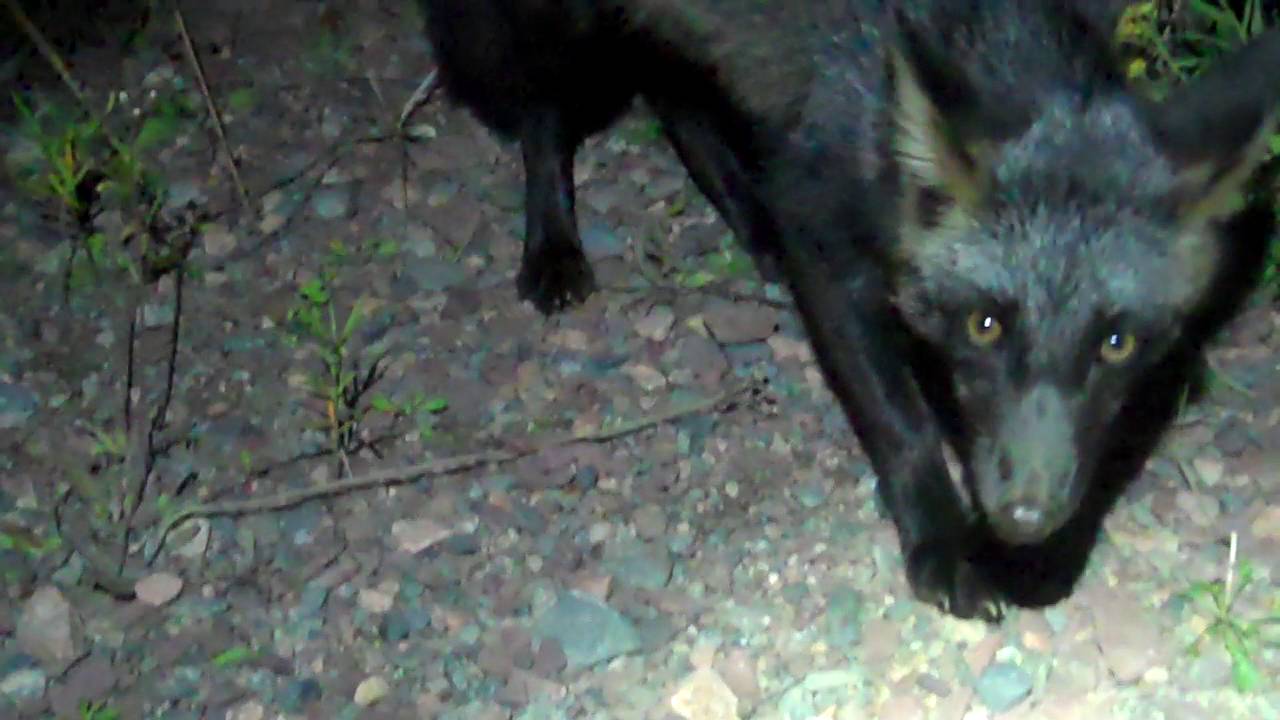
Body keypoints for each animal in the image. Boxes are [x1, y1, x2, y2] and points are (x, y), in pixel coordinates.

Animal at [417, 0, 1280, 620]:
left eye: (1116, 343)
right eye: (984, 325)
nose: (1026, 514)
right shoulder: (826, 247)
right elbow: (903, 429)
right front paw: (946, 548)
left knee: (673, 94)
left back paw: (746, 214)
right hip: (560, 30)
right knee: (546, 111)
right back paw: (553, 246)